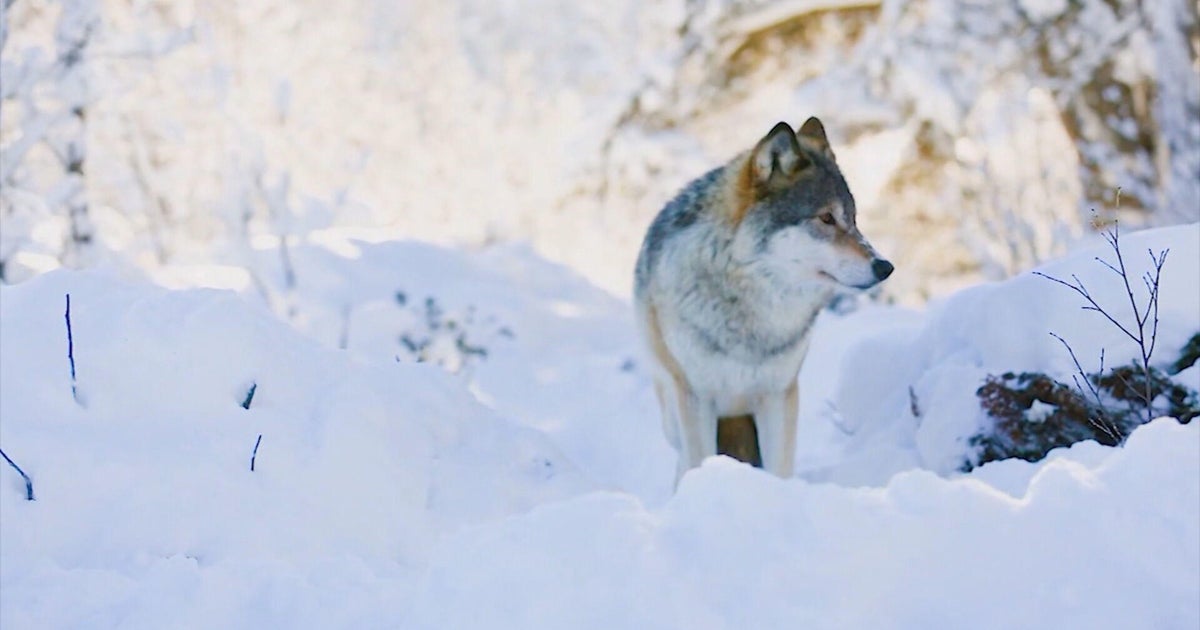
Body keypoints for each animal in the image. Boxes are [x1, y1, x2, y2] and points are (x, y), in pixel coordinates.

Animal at [634, 118, 893, 481]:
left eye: (854, 220)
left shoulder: (779, 395)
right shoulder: (695, 397)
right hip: (673, 414)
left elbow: (780, 468)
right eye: (826, 218)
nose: (884, 267)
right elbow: (698, 460)